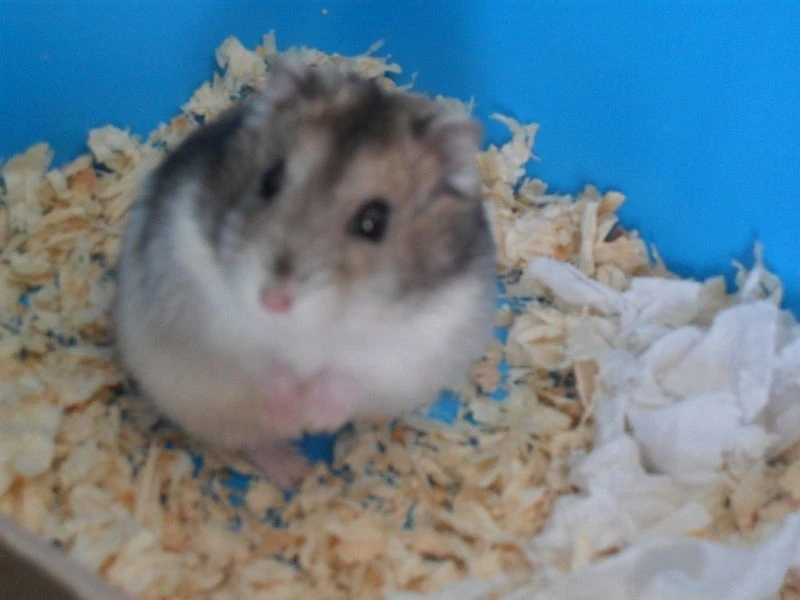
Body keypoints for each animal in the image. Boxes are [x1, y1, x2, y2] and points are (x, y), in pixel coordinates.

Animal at [112, 58, 497, 487]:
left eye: (374, 221)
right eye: (269, 180)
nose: (271, 301)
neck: (307, 330)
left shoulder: (408, 347)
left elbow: (347, 374)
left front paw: (316, 419)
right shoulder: (209, 318)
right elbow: (262, 361)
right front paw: (292, 416)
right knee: (251, 440)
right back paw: (293, 468)